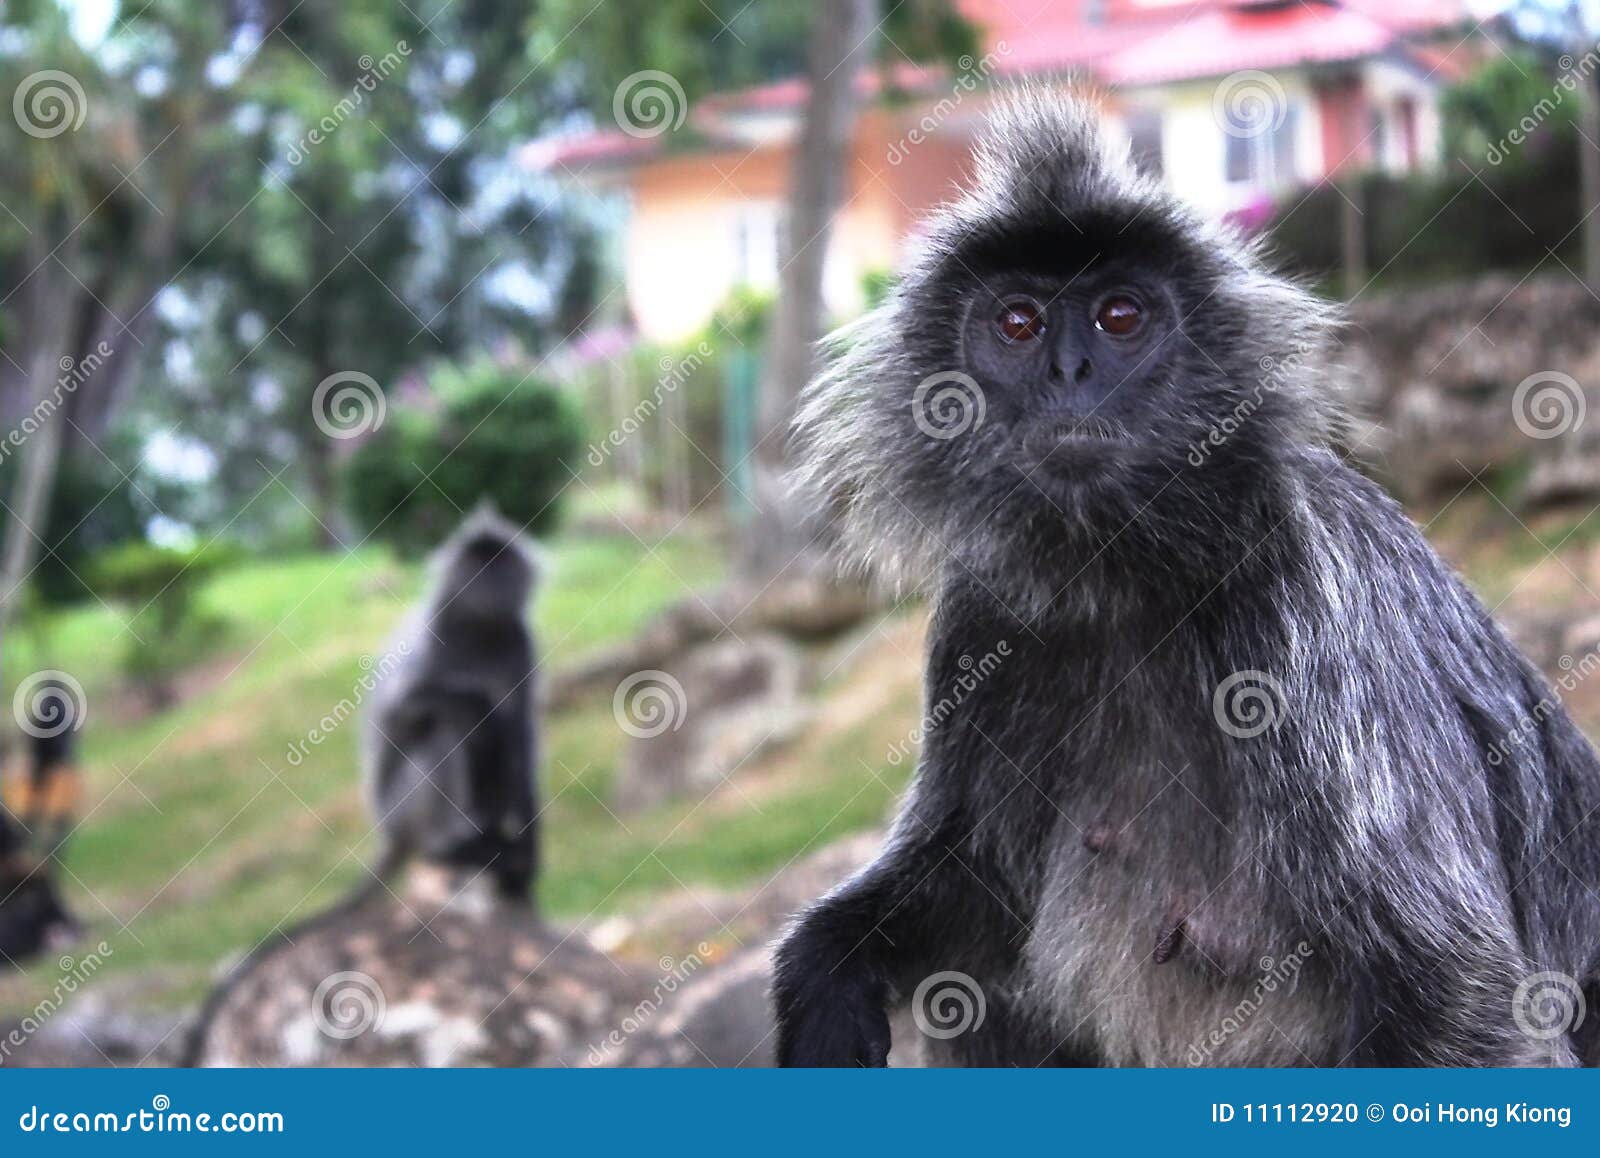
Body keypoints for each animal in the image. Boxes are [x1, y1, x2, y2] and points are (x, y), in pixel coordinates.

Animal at [182, 504, 542, 1065]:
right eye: (477, 571)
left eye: (501, 571)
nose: (490, 587)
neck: (480, 631)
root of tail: (391, 833)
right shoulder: (433, 639)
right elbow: (402, 717)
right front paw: (474, 707)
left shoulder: (520, 643)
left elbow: (522, 742)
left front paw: (527, 867)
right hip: (402, 806)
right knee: (449, 729)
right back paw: (455, 845)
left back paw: (493, 846)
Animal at [771, 90, 1600, 1068]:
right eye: (1018, 324)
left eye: (1120, 316)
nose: (1070, 371)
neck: (1129, 578)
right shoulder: (985, 616)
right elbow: (976, 894)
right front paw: (825, 976)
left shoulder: (1304, 597)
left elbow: (1458, 984)